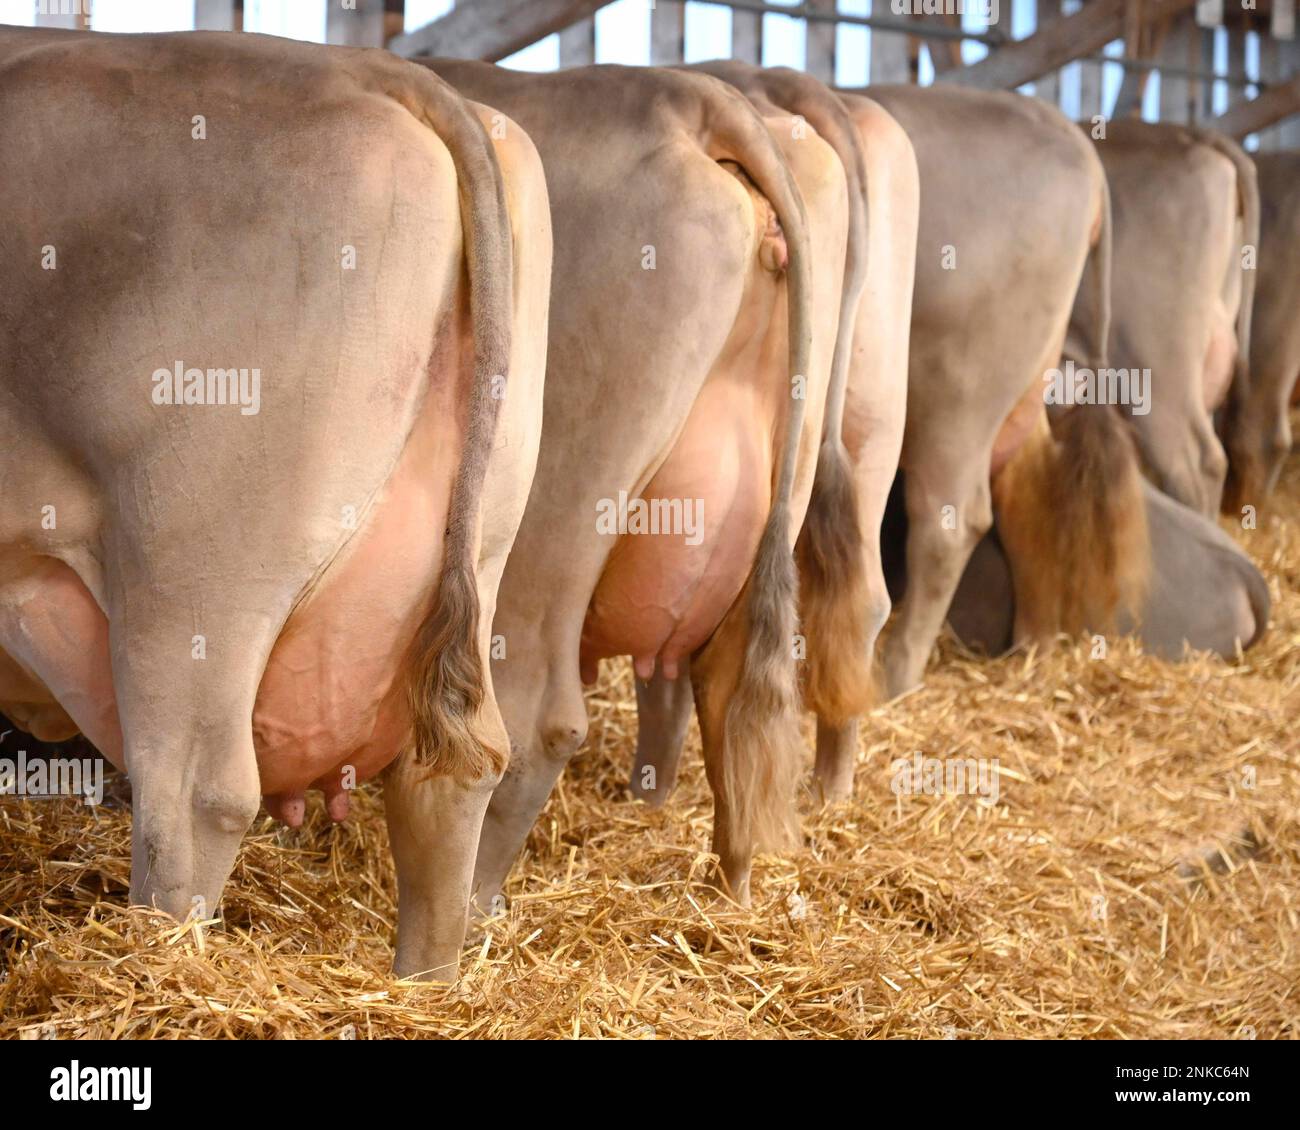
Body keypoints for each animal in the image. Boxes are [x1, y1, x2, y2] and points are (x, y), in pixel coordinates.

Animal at [0, 27, 552, 981]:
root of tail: (382, 70)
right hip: (480, 546)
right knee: (450, 777)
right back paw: (422, 989)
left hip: (189, 574)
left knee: (195, 799)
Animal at [421, 60, 850, 907]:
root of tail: (695, 100)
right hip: (783, 477)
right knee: (731, 695)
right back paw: (735, 889)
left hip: (555, 514)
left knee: (534, 714)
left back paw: (477, 898)